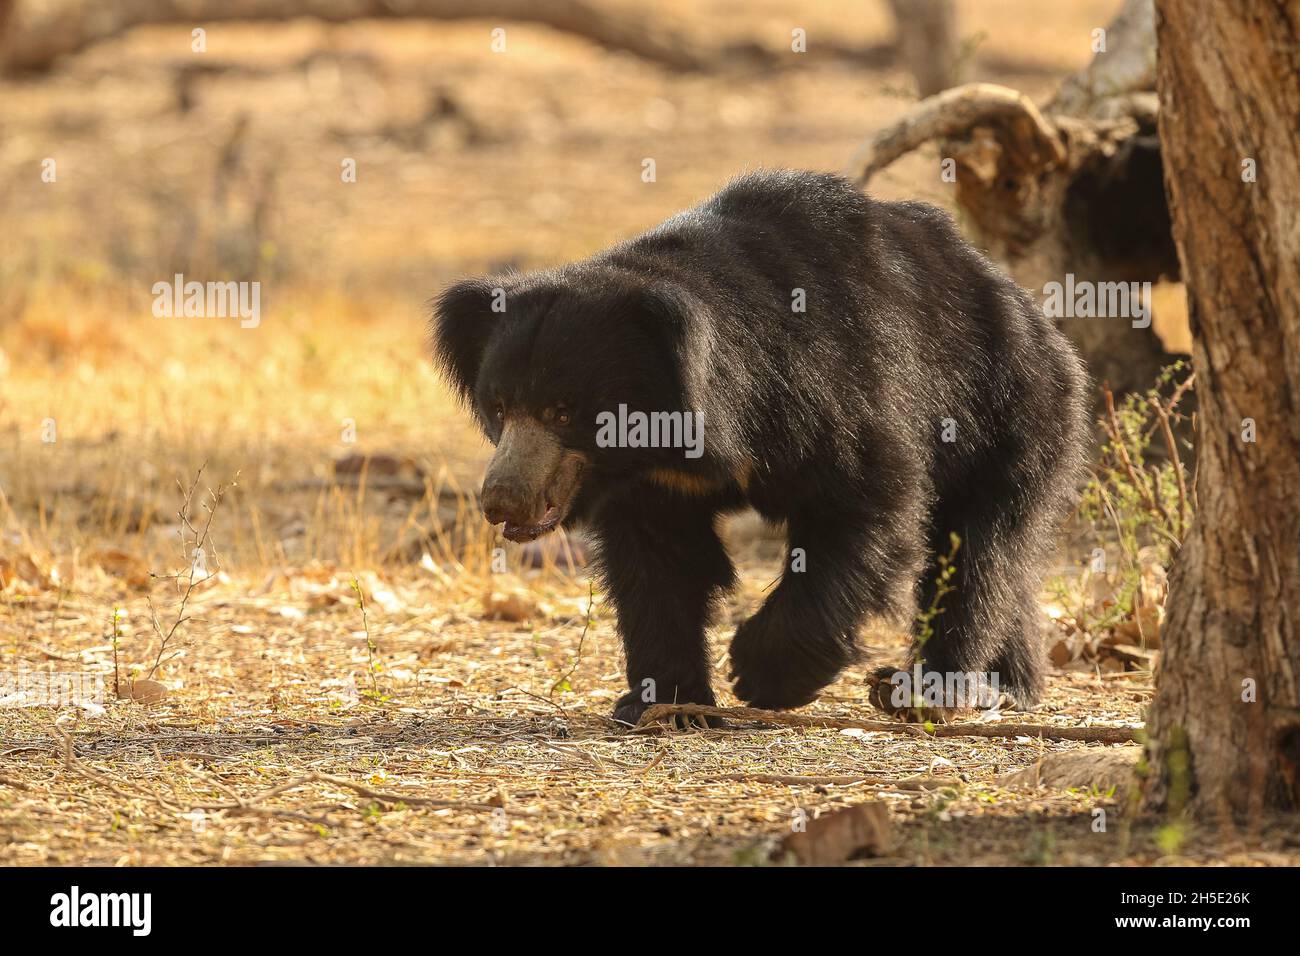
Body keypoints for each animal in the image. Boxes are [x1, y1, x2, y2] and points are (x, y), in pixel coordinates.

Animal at [431, 169, 1089, 726]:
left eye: (563, 411)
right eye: (498, 407)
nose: (502, 501)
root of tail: (1036, 320)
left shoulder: (834, 393)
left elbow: (865, 511)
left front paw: (759, 674)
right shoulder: (652, 486)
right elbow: (657, 562)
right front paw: (665, 703)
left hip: (1009, 414)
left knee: (978, 551)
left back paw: (933, 689)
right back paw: (1008, 684)